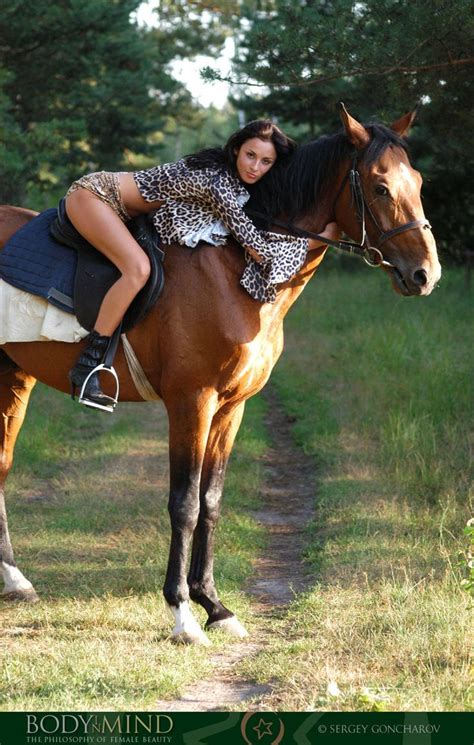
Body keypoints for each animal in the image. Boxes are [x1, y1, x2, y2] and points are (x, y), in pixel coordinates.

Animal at [0, 106, 441, 646]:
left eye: (417, 182)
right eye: (380, 187)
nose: (426, 275)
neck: (235, 272)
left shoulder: (232, 407)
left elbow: (210, 501)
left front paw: (215, 606)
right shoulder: (193, 401)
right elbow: (185, 504)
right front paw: (183, 615)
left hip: (13, 377)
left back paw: (14, 581)